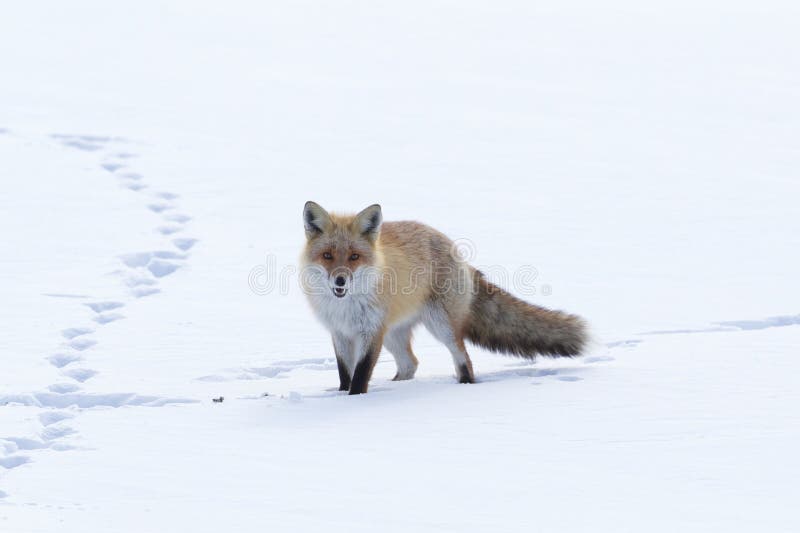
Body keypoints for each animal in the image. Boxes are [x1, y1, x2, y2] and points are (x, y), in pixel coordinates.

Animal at [301, 201, 588, 395]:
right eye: (327, 256)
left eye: (354, 257)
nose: (340, 281)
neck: (344, 306)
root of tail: (451, 244)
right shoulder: (340, 332)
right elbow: (345, 374)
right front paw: (342, 395)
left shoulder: (370, 331)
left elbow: (360, 375)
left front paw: (354, 400)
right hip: (393, 334)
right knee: (411, 364)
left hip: (440, 326)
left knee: (463, 359)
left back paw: (464, 387)